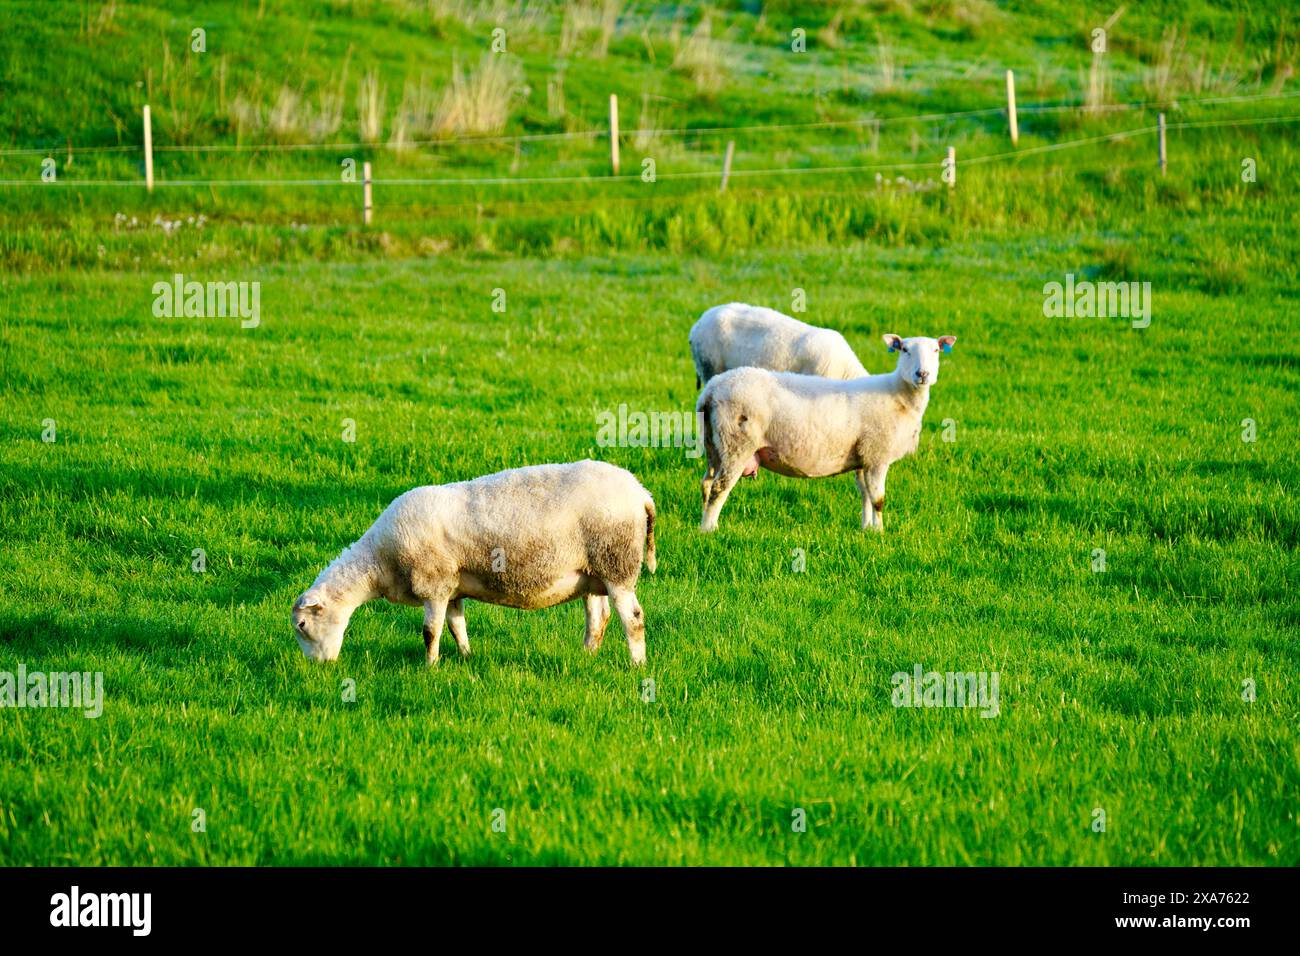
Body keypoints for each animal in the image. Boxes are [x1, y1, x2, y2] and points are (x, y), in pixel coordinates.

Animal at [291, 460, 657, 666]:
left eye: (302, 625)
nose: (318, 667)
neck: (378, 562)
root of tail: (641, 493)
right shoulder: (451, 589)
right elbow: (456, 627)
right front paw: (466, 658)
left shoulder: (434, 584)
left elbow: (430, 632)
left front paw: (430, 666)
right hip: (592, 573)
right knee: (598, 619)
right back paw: (586, 657)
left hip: (617, 563)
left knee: (633, 619)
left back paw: (637, 664)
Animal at [696, 333, 956, 532]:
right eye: (904, 349)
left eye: (936, 350)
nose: (922, 374)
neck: (899, 396)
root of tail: (712, 389)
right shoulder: (877, 455)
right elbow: (878, 499)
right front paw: (881, 532)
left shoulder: (864, 455)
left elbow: (865, 495)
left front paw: (867, 529)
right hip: (736, 444)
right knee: (720, 487)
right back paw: (710, 529)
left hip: (714, 444)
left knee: (707, 484)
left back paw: (703, 523)